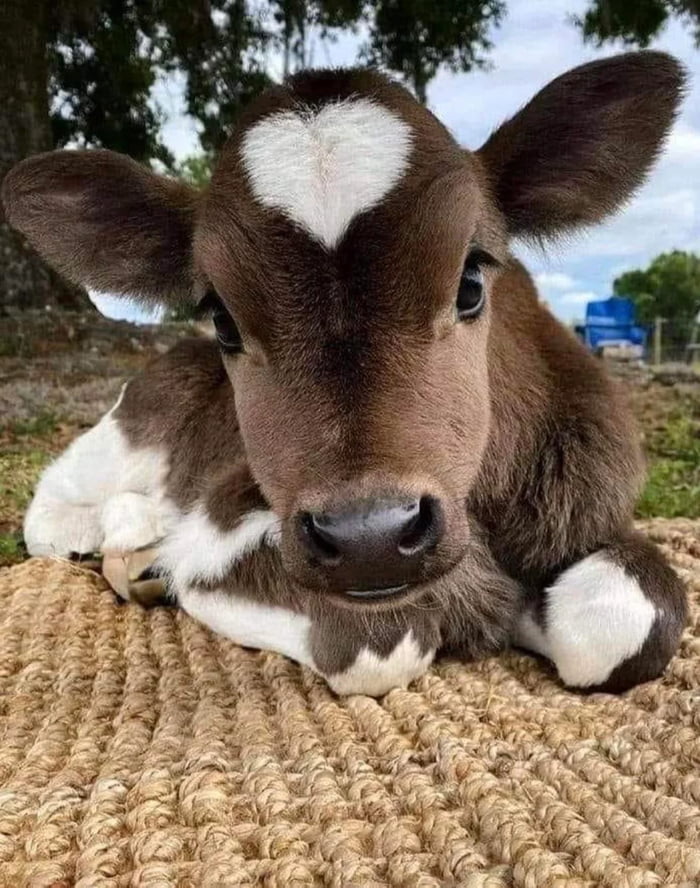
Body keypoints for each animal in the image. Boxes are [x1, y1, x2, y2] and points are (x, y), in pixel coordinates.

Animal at [2, 51, 688, 696]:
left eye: (471, 280)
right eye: (222, 318)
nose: (368, 537)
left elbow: (626, 622)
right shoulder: (222, 528)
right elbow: (380, 642)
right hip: (133, 425)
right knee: (54, 507)